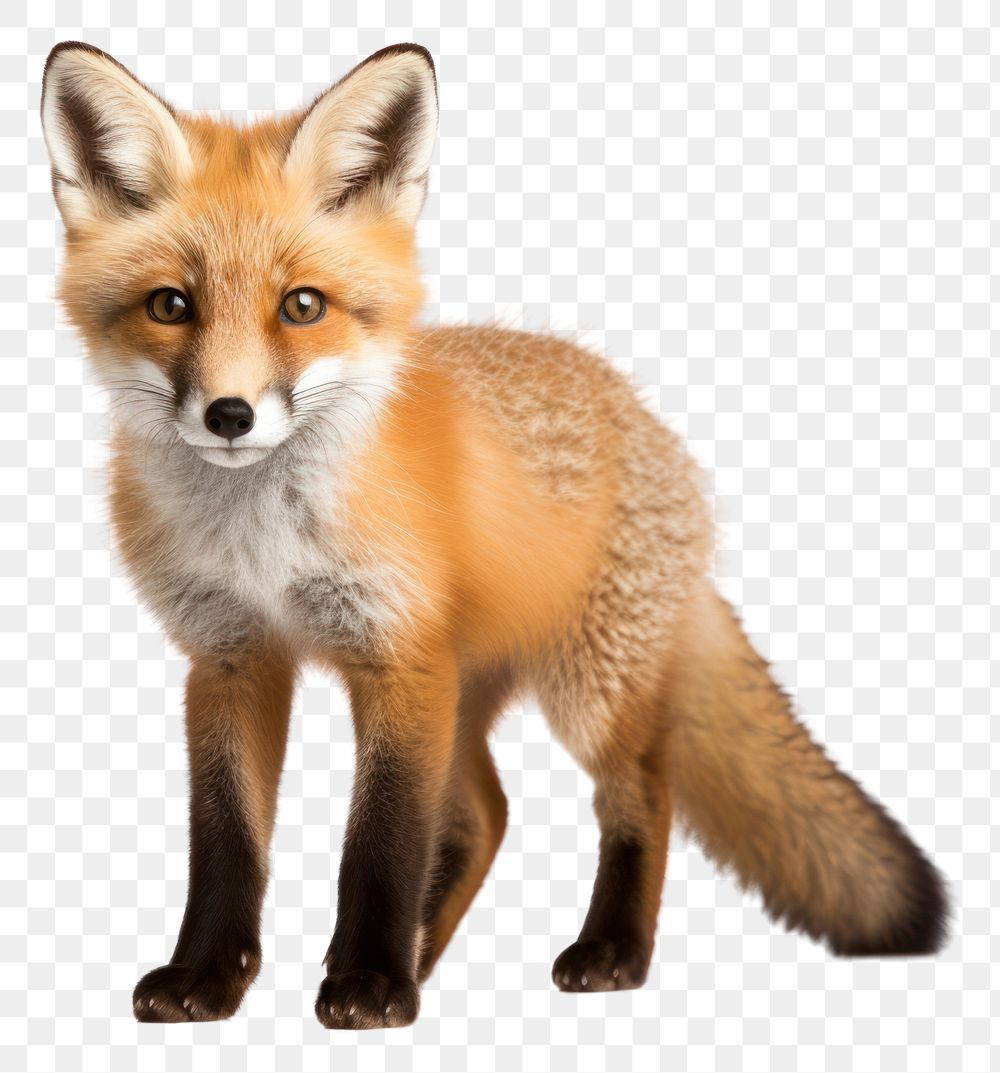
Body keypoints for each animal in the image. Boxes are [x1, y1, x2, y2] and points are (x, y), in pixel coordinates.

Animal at [40, 40, 948, 1028]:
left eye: (303, 306)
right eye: (170, 306)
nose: (230, 415)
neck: (266, 543)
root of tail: (651, 425)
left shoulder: (398, 658)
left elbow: (381, 839)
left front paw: (369, 984)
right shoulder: (231, 656)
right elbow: (227, 839)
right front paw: (210, 975)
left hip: (584, 690)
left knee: (641, 794)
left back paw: (606, 950)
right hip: (469, 689)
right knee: (486, 815)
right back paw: (425, 954)